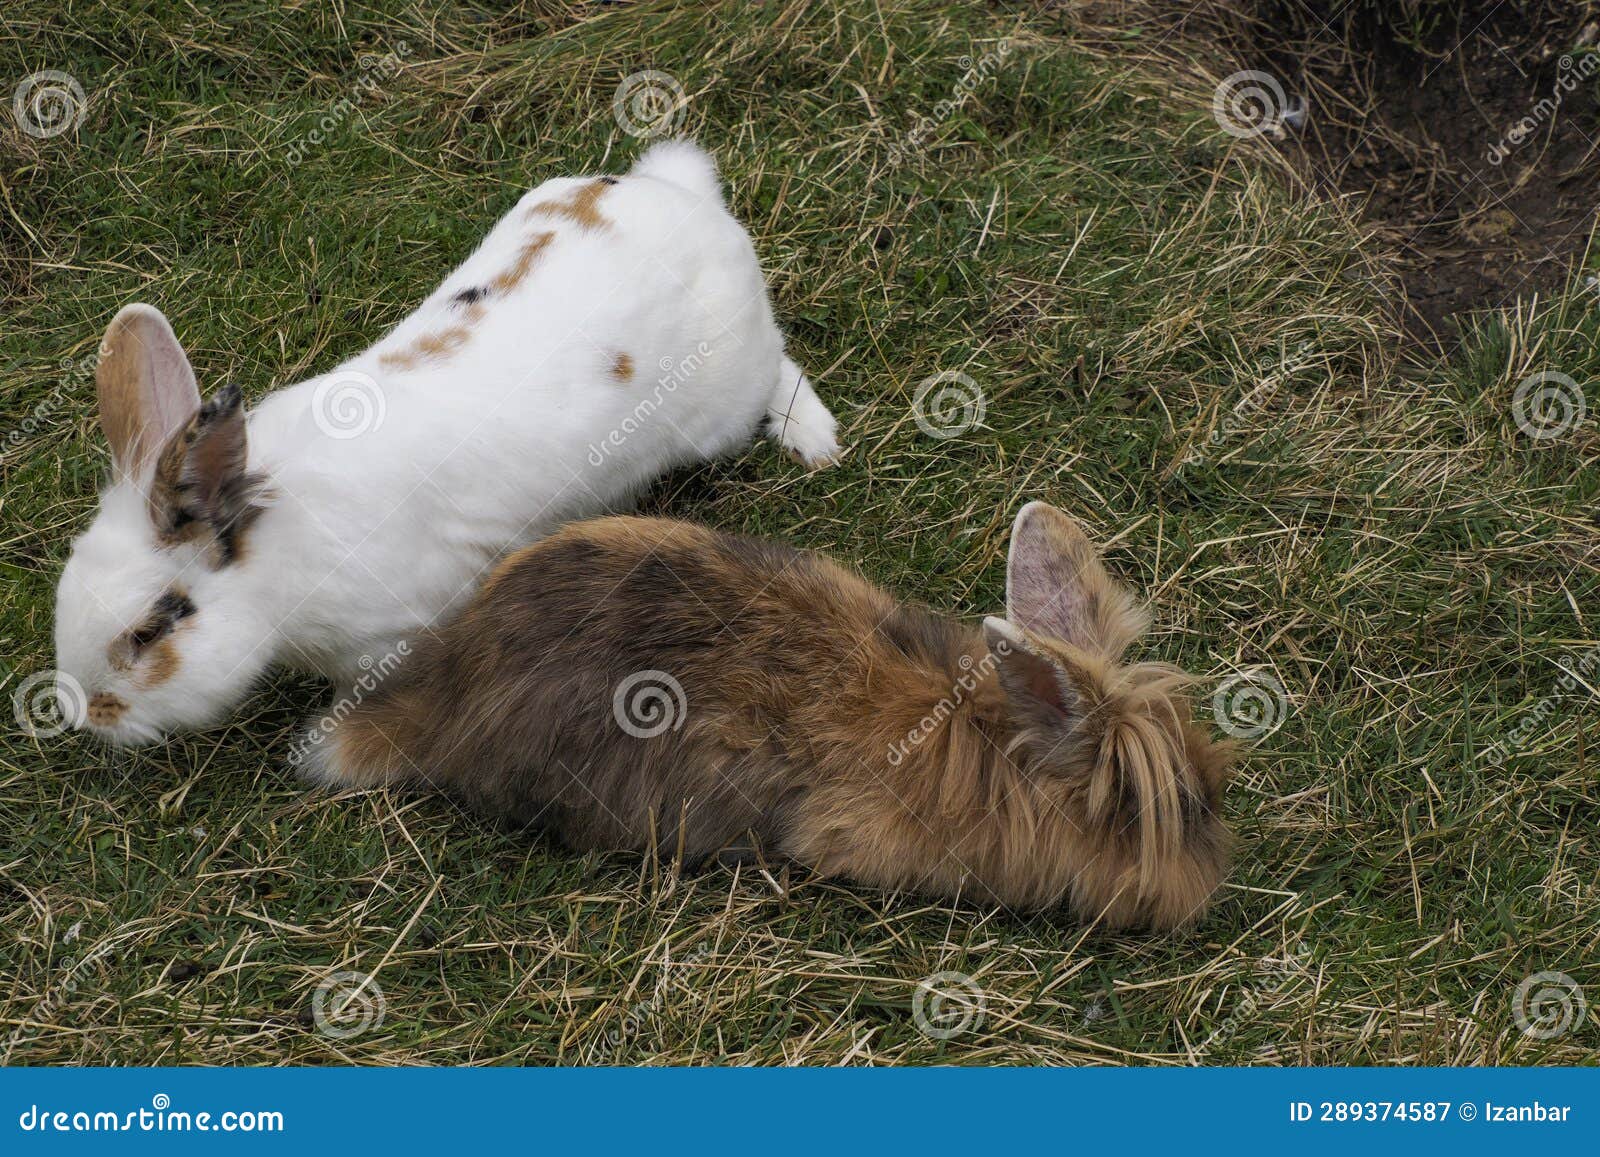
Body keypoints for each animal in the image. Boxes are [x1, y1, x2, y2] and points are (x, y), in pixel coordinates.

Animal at [53, 139, 840, 747]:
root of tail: (686, 197)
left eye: (151, 631)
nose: (87, 714)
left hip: (727, 402)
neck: (276, 559)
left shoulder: (396, 633)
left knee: (780, 364)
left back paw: (814, 440)